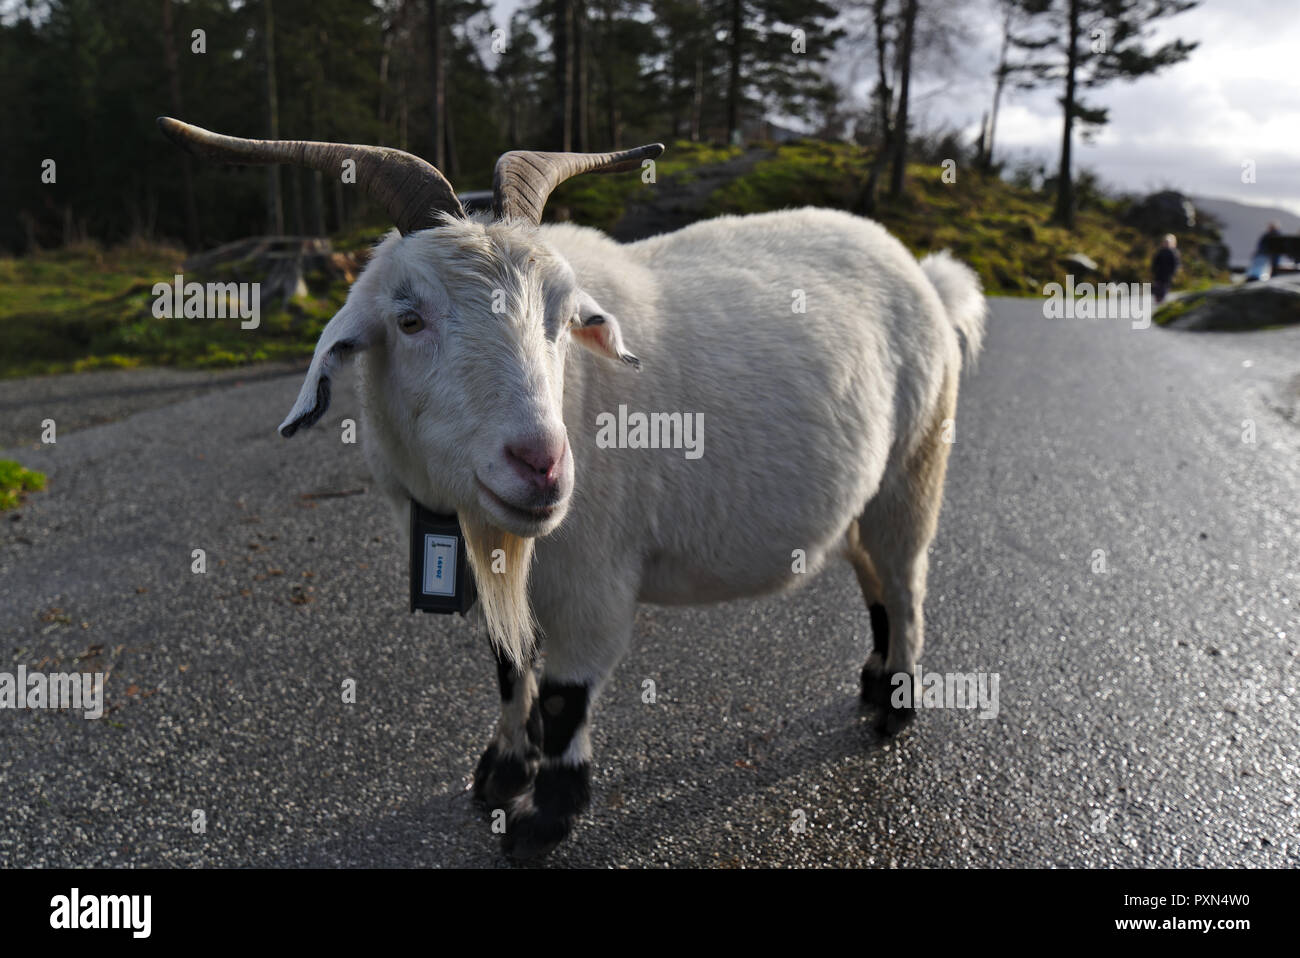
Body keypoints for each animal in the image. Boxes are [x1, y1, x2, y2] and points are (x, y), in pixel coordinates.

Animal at [160, 117, 987, 859]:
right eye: (409, 318)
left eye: (562, 319)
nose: (541, 465)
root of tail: (926, 275)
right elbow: (507, 666)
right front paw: (501, 773)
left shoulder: (594, 579)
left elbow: (565, 698)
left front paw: (545, 818)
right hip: (865, 498)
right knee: (874, 577)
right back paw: (874, 683)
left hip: (914, 466)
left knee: (906, 581)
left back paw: (897, 707)